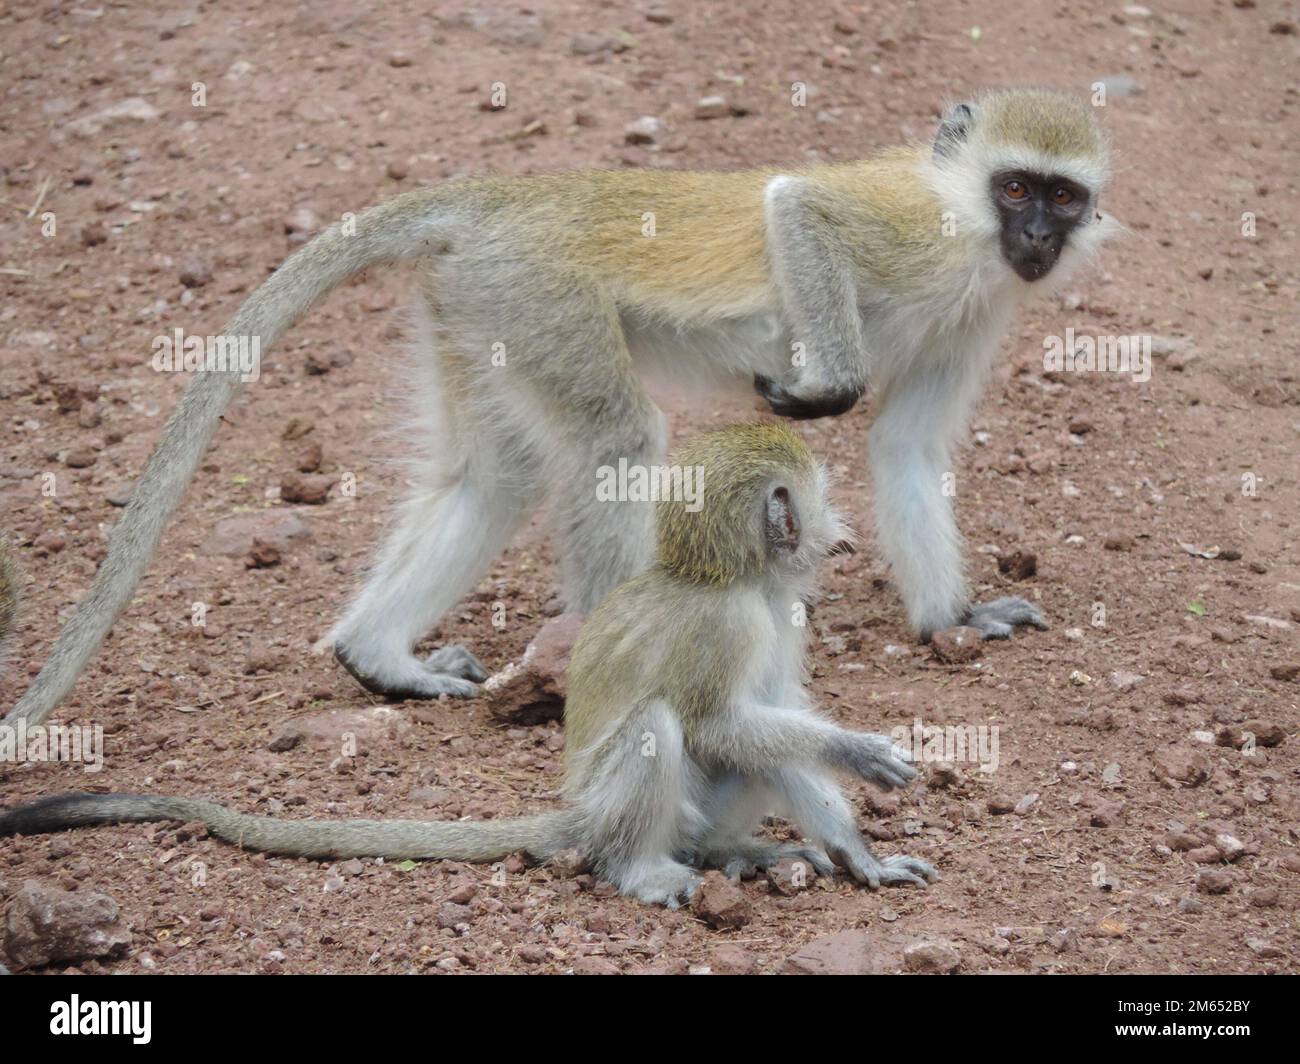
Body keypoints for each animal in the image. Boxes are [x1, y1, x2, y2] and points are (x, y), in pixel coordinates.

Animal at [0, 423, 938, 907]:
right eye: (818, 502)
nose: (839, 533)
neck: (732, 579)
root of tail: (581, 817)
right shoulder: (732, 624)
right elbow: (723, 721)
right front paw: (858, 753)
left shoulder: (777, 620)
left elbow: (774, 723)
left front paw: (861, 856)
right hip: (615, 812)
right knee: (662, 731)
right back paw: (645, 870)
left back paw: (732, 852)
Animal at [8, 87, 1116, 725]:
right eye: (1016, 186)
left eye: (1062, 198)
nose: (1037, 241)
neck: (968, 227)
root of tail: (503, 199)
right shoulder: (909, 228)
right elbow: (800, 208)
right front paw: (814, 385)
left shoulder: (981, 309)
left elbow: (906, 444)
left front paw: (952, 620)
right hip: (535, 292)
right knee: (612, 439)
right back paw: (594, 659)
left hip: (477, 307)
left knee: (494, 474)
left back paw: (379, 658)